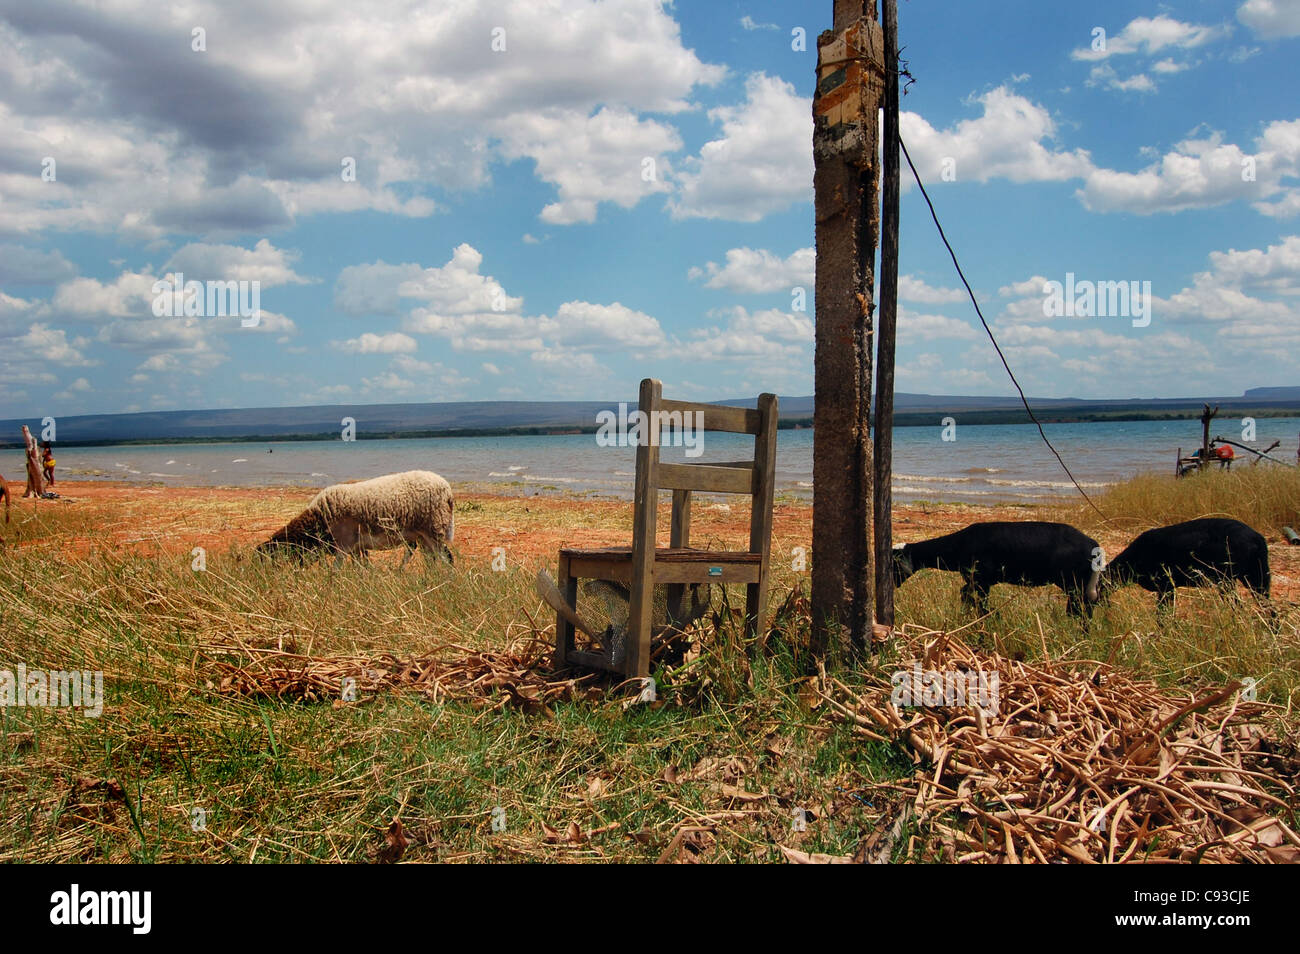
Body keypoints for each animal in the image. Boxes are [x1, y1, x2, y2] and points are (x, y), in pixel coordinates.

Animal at [258, 470, 455, 567]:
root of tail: (447, 490)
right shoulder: (356, 547)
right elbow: (360, 568)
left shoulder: (343, 545)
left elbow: (335, 570)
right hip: (423, 536)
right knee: (431, 560)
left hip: (433, 529)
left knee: (446, 559)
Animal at [893, 521, 1102, 618]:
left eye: (894, 563)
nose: (892, 584)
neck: (959, 545)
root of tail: (1094, 545)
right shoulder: (975, 582)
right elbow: (968, 598)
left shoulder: (981, 581)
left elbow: (980, 605)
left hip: (1074, 585)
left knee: (1081, 611)